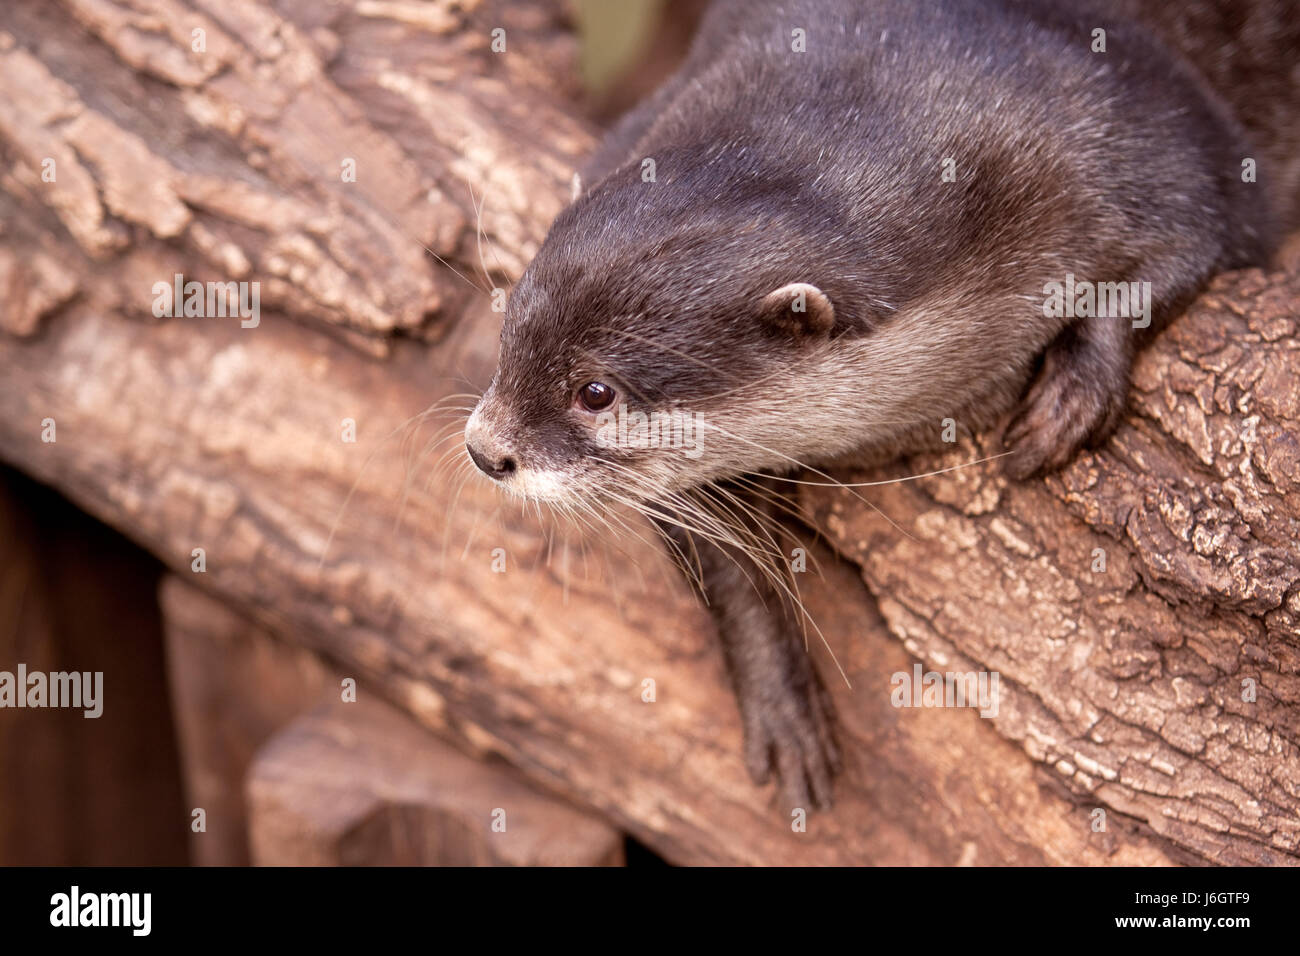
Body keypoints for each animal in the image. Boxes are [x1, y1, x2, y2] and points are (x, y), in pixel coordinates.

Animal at [464, 0, 1299, 809]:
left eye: (595, 392)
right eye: (513, 328)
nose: (485, 449)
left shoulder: (1138, 131)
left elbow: (1204, 233)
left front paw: (1074, 395)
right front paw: (780, 701)